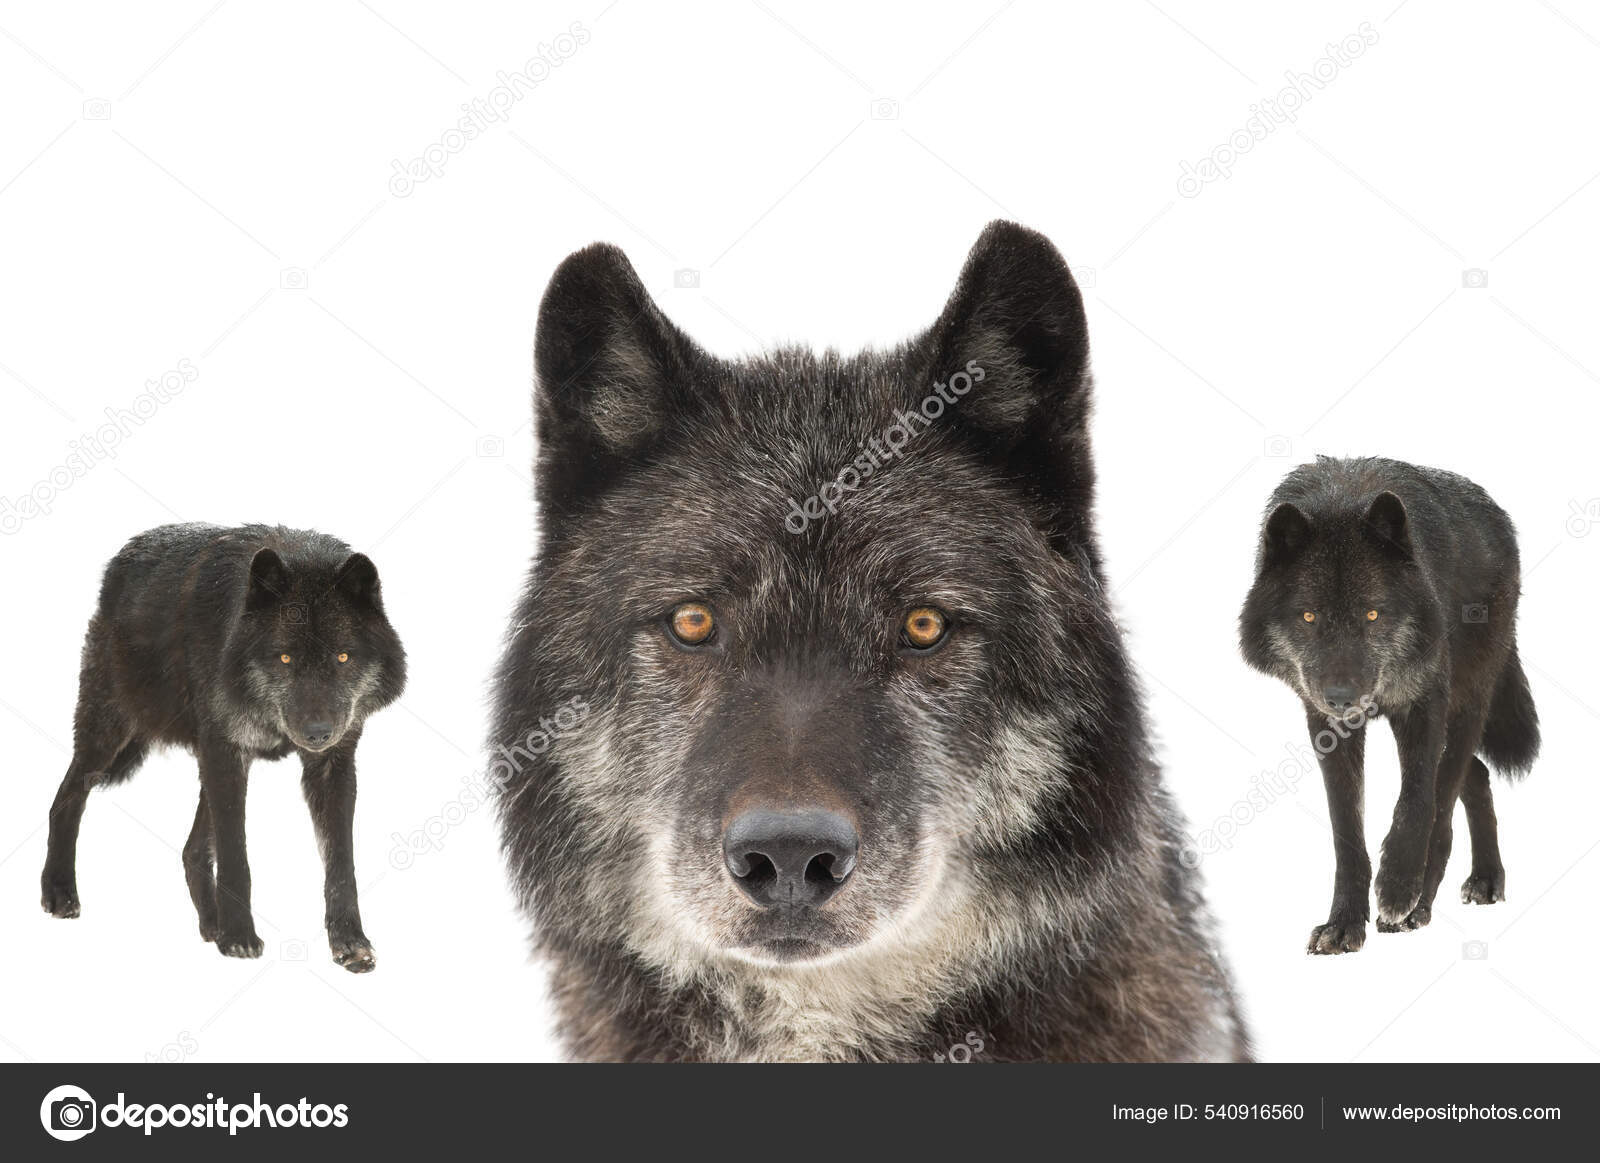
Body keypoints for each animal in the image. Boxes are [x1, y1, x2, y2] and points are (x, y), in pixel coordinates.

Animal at [41, 524, 407, 971]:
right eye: (284, 659)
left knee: (192, 849)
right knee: (65, 800)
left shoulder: (331, 767)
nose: (318, 733)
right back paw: (59, 892)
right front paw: (239, 937)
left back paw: (211, 923)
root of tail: (123, 557)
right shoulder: (227, 754)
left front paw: (350, 942)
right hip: (109, 736)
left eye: (342, 657)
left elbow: (341, 864)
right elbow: (236, 858)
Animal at [1240, 457, 1539, 954]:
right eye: (1309, 617)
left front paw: (1398, 888)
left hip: (1467, 704)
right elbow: (1346, 832)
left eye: (1373, 615)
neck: (1341, 500)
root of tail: (1499, 517)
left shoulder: (1423, 705)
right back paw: (1482, 878)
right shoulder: (1324, 726)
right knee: (1476, 774)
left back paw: (1431, 900)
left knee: (1449, 796)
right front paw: (1343, 924)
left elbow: (1418, 803)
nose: (1342, 696)